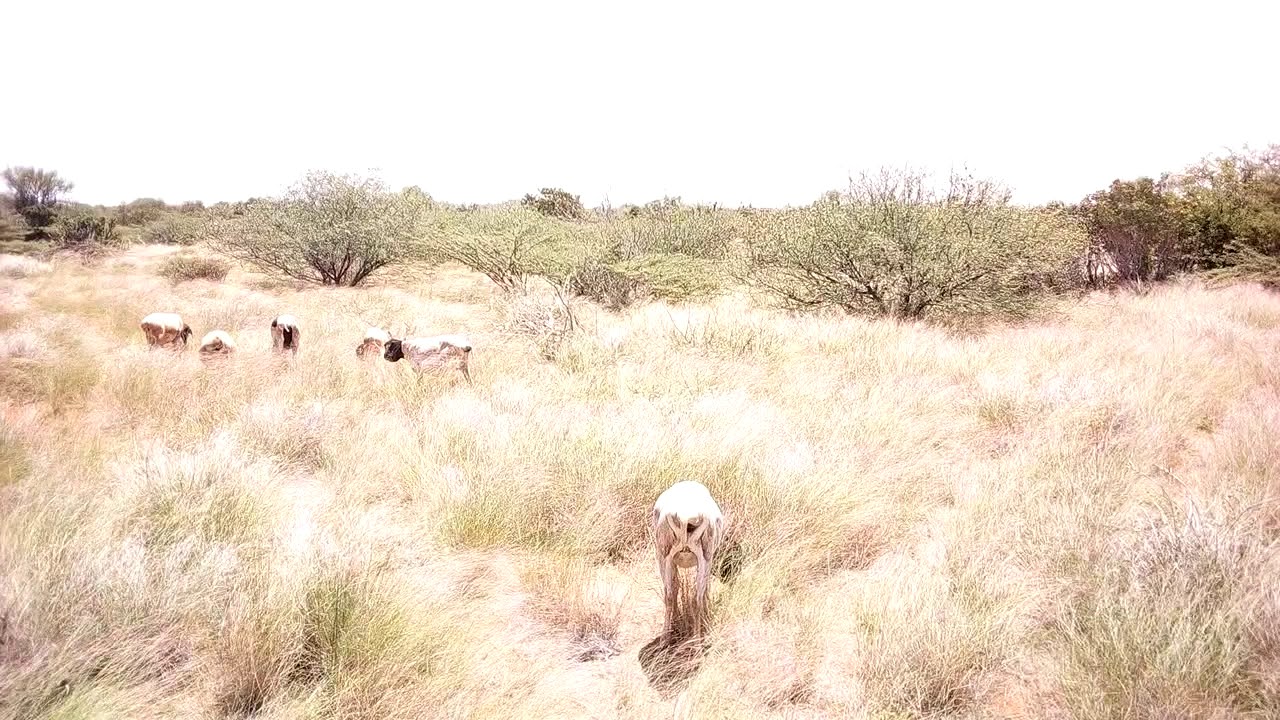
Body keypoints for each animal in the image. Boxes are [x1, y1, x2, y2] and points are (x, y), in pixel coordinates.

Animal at [652, 480, 725, 645]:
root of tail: (685, 518)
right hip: (703, 558)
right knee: (695, 597)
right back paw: (697, 641)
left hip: (667, 556)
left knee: (672, 595)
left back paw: (667, 639)